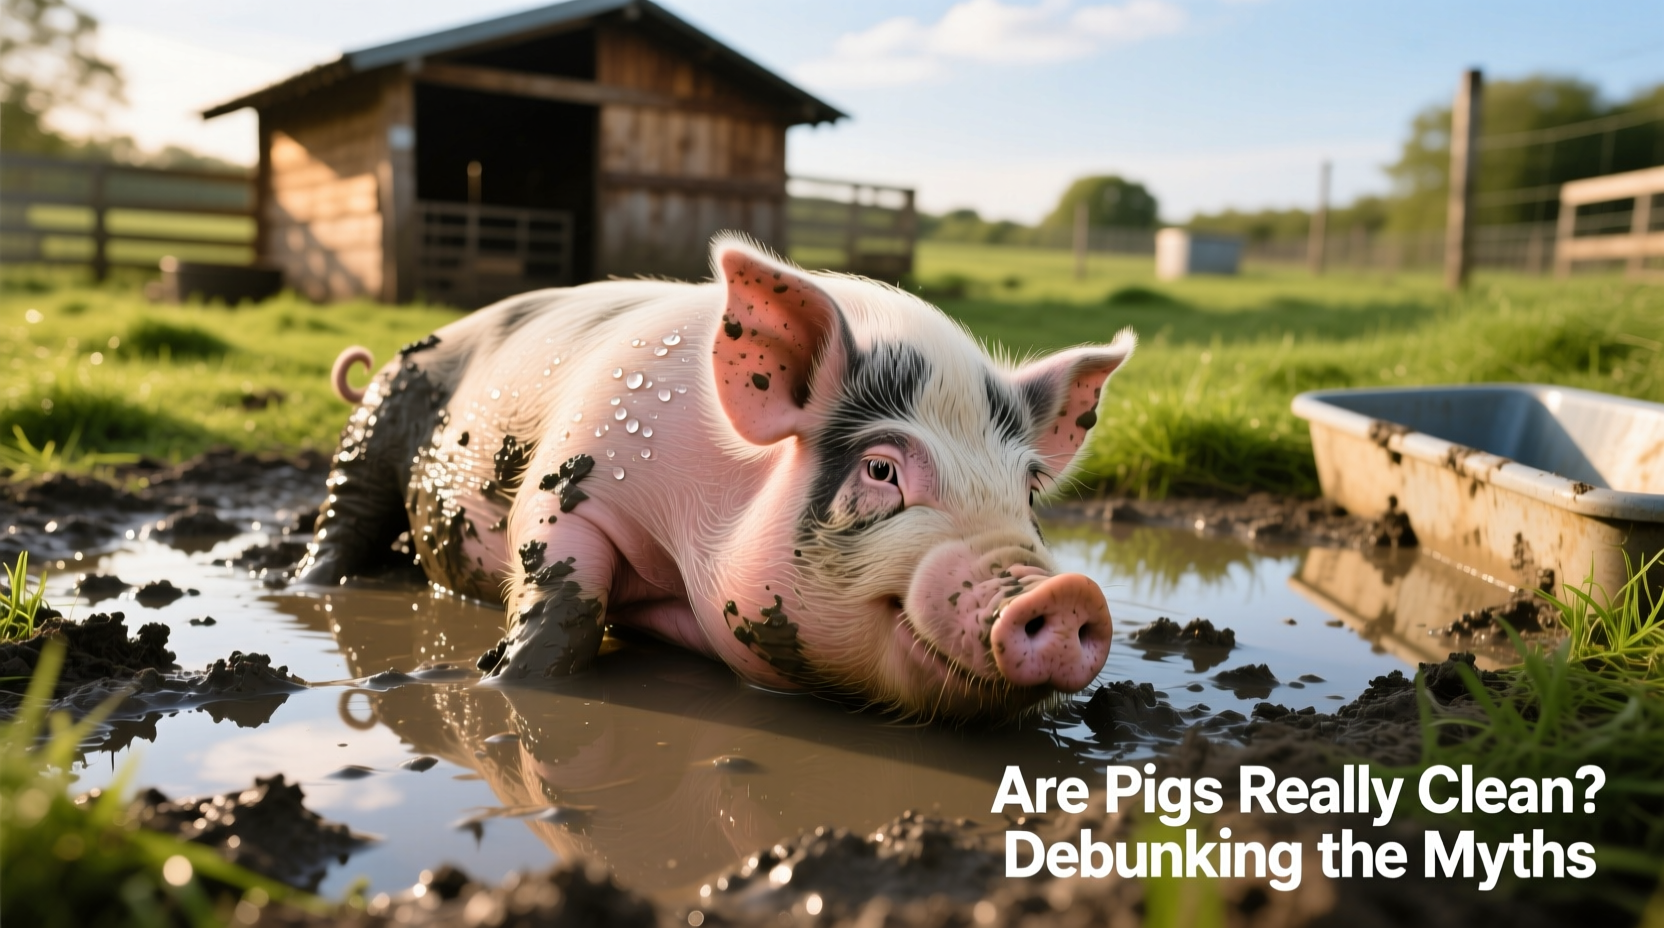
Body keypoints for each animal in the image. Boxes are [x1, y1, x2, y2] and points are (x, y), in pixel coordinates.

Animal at [298, 236, 1134, 722]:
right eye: (882, 469)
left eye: (1028, 492)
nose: (1067, 592)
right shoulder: (569, 475)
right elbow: (566, 596)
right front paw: (501, 681)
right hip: (378, 416)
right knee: (345, 515)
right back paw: (307, 584)